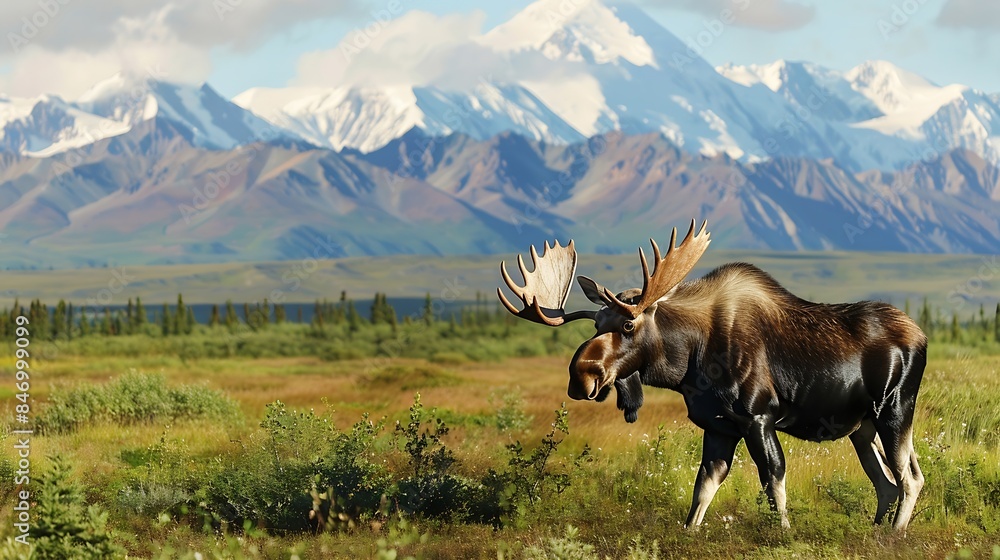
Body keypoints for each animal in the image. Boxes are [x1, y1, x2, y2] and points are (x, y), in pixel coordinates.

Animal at [497, 219, 927, 532]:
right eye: (595, 324)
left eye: (629, 324)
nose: (581, 376)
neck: (688, 364)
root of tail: (921, 335)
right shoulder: (718, 426)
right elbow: (702, 488)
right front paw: (690, 531)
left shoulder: (758, 417)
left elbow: (773, 483)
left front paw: (784, 533)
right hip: (862, 428)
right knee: (889, 483)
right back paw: (877, 529)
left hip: (894, 410)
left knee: (909, 479)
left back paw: (894, 534)